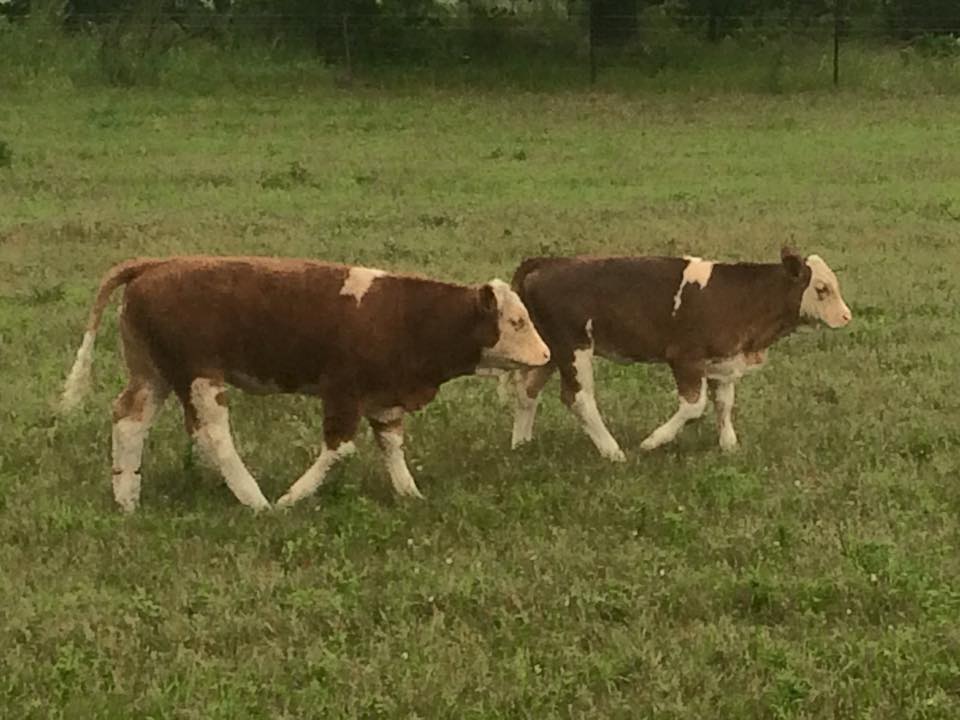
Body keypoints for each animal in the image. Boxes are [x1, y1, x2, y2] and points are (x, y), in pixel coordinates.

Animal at [58, 256, 551, 513]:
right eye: (516, 321)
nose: (546, 355)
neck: (407, 315)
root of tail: (159, 264)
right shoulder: (343, 392)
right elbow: (340, 448)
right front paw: (292, 497)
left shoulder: (385, 397)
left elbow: (392, 446)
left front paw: (410, 493)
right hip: (199, 376)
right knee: (212, 433)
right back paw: (255, 500)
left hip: (154, 374)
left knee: (129, 420)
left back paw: (127, 499)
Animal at [493, 247, 851, 460]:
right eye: (822, 289)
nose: (847, 316)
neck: (739, 296)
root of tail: (547, 262)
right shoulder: (685, 358)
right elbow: (694, 406)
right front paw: (653, 440)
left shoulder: (722, 361)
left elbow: (724, 404)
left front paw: (729, 444)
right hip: (573, 349)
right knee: (579, 399)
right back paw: (612, 451)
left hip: (548, 351)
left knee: (527, 393)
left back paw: (521, 444)